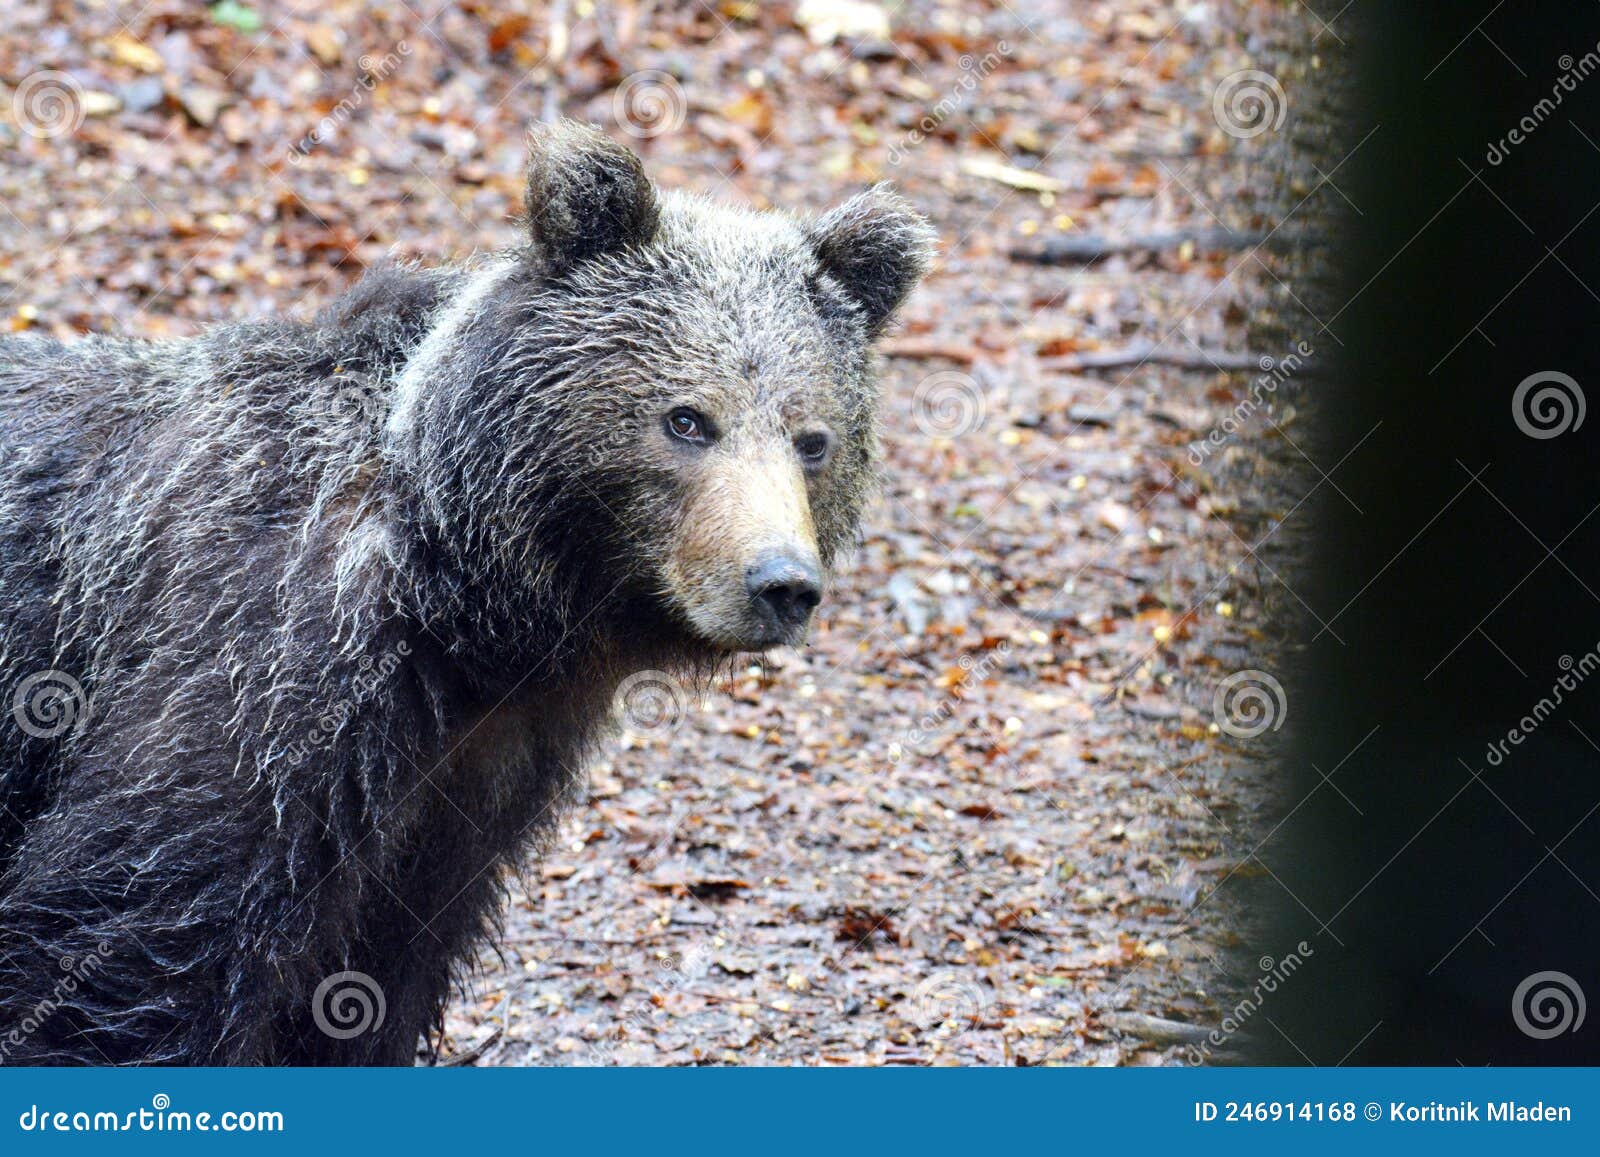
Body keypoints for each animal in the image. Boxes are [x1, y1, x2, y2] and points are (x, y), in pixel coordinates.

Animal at [0, 121, 934, 1065]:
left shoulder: (471, 782)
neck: (465, 602)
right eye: (687, 419)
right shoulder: (267, 658)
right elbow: (130, 940)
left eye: (813, 439)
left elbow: (368, 982)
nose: (781, 582)